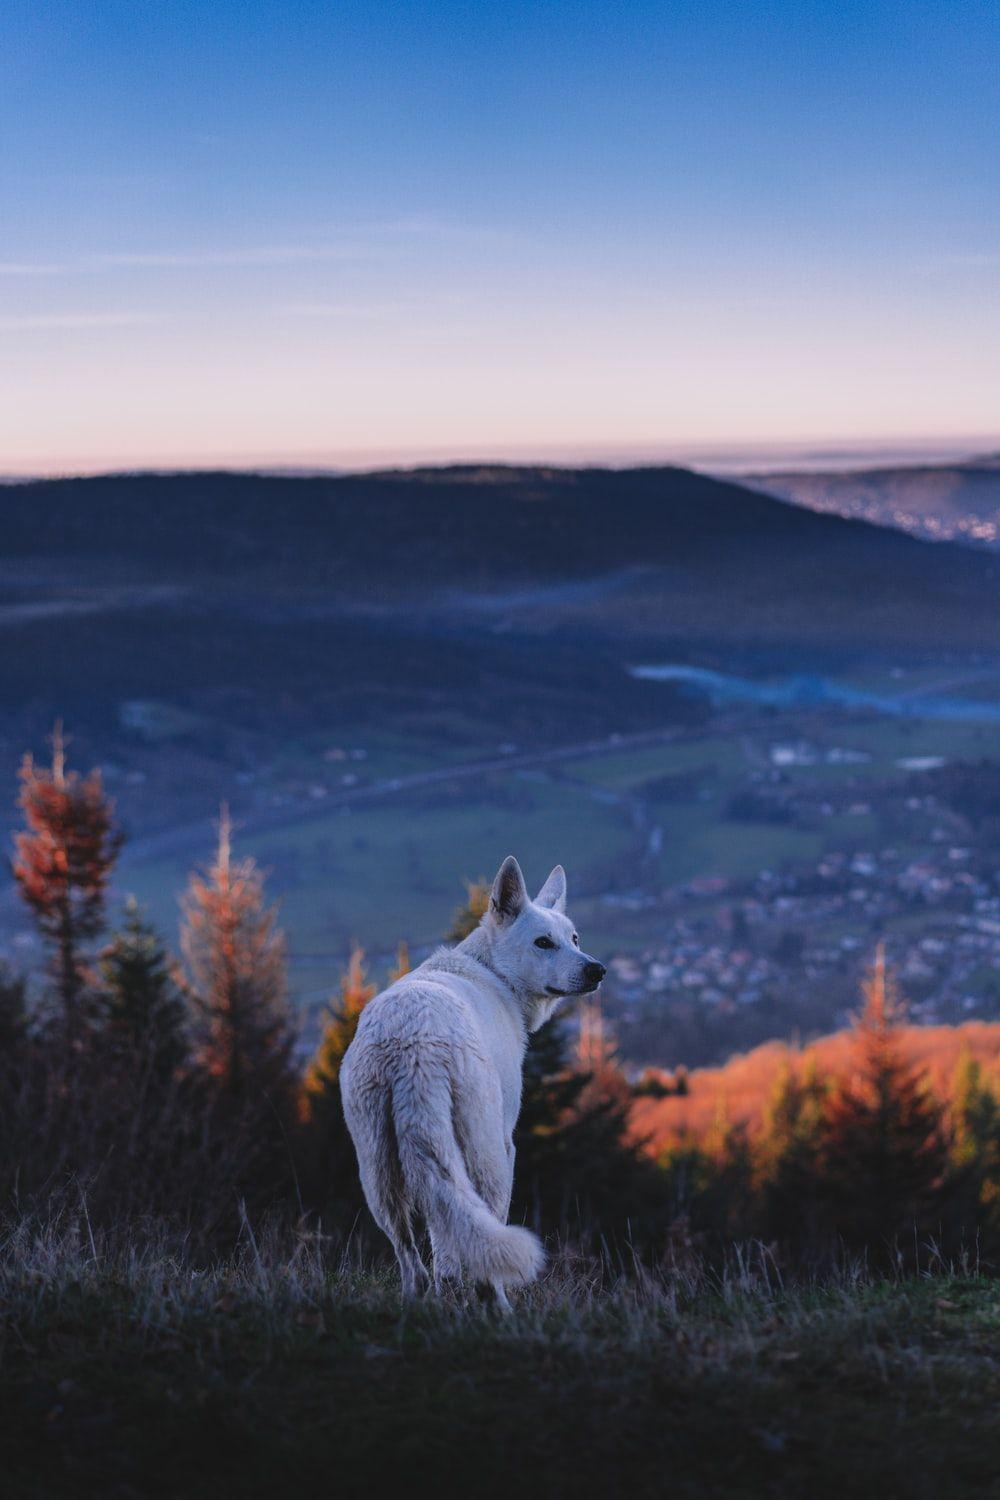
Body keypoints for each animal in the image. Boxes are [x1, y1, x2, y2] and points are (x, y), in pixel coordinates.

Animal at [340, 855, 605, 1305]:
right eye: (543, 943)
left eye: (573, 938)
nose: (596, 970)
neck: (493, 972)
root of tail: (409, 1044)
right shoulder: (505, 1140)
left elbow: (441, 1243)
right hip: (487, 1154)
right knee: (484, 1240)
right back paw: (496, 1303)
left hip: (378, 1169)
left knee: (416, 1259)